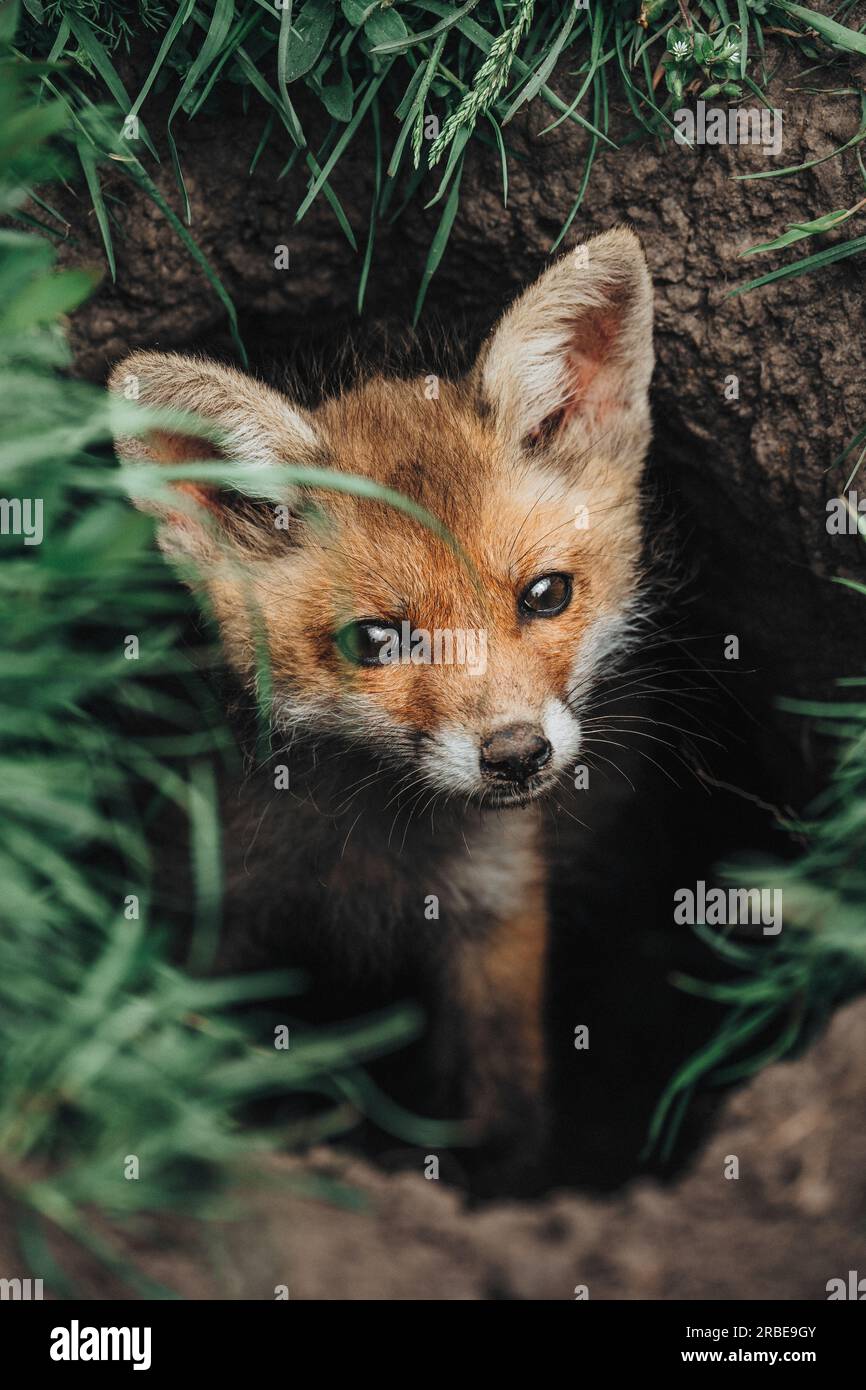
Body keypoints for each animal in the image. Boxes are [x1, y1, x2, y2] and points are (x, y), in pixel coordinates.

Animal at [109, 227, 654, 1187]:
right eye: (376, 641)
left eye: (546, 594)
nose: (517, 754)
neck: (374, 854)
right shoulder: (218, 910)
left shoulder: (495, 909)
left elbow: (507, 1097)